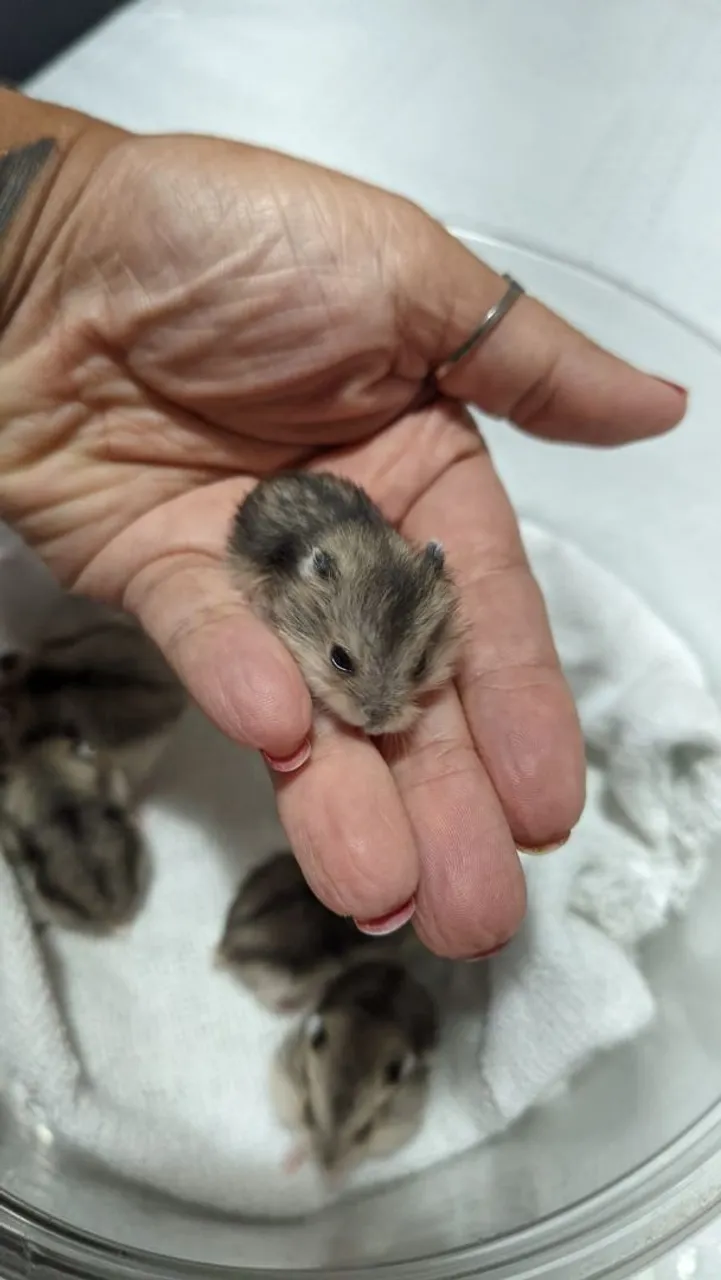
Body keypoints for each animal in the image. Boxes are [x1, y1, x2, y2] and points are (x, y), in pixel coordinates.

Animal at [271, 959, 438, 1178]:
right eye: (309, 1115)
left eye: (364, 1132)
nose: (327, 1170)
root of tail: (398, 966)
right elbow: (302, 1136)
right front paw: (288, 1166)